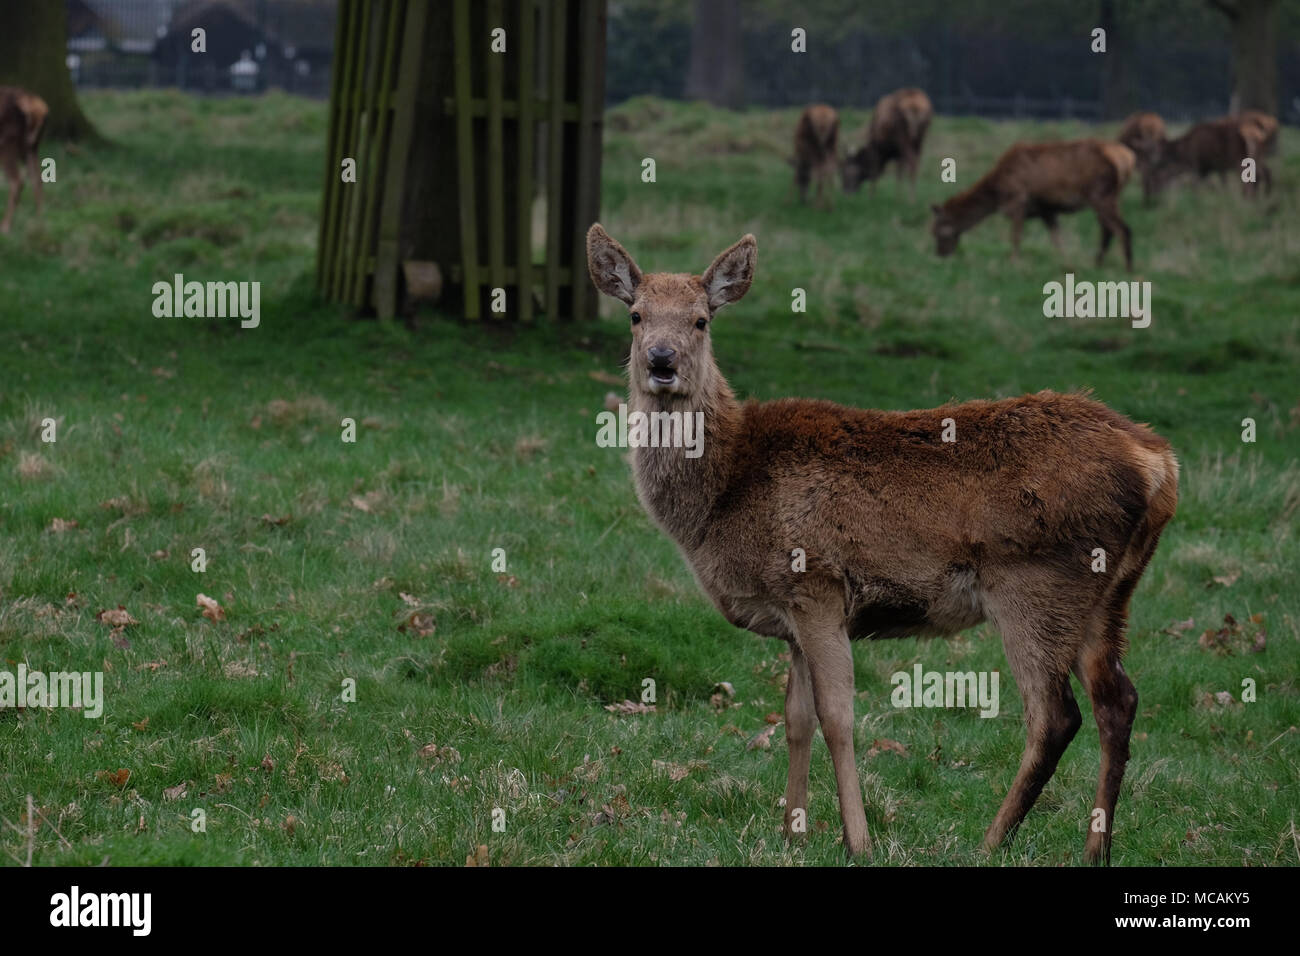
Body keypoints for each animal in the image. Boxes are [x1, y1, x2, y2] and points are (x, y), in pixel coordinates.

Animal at [0, 86, 49, 234]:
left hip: (7, 143)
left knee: (17, 180)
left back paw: (5, 227)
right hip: (31, 146)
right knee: (37, 180)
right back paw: (41, 221)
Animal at [586, 222, 1178, 864]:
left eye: (700, 320)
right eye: (636, 315)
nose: (661, 361)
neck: (723, 496)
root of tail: (1158, 465)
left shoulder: (815, 583)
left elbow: (837, 716)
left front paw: (858, 840)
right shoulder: (790, 610)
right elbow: (795, 717)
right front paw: (791, 832)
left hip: (1037, 582)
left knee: (1054, 715)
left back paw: (990, 840)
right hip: (1109, 594)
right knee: (1118, 701)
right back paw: (1095, 848)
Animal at [930, 139, 1136, 271]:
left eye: (938, 231)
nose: (940, 255)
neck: (997, 195)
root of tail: (1127, 159)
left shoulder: (1018, 200)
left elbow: (1016, 237)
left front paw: (1014, 263)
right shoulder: (1047, 210)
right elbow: (1057, 240)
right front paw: (1067, 264)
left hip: (1100, 195)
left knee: (1122, 229)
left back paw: (1127, 269)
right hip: (1109, 197)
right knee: (1108, 229)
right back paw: (1098, 264)